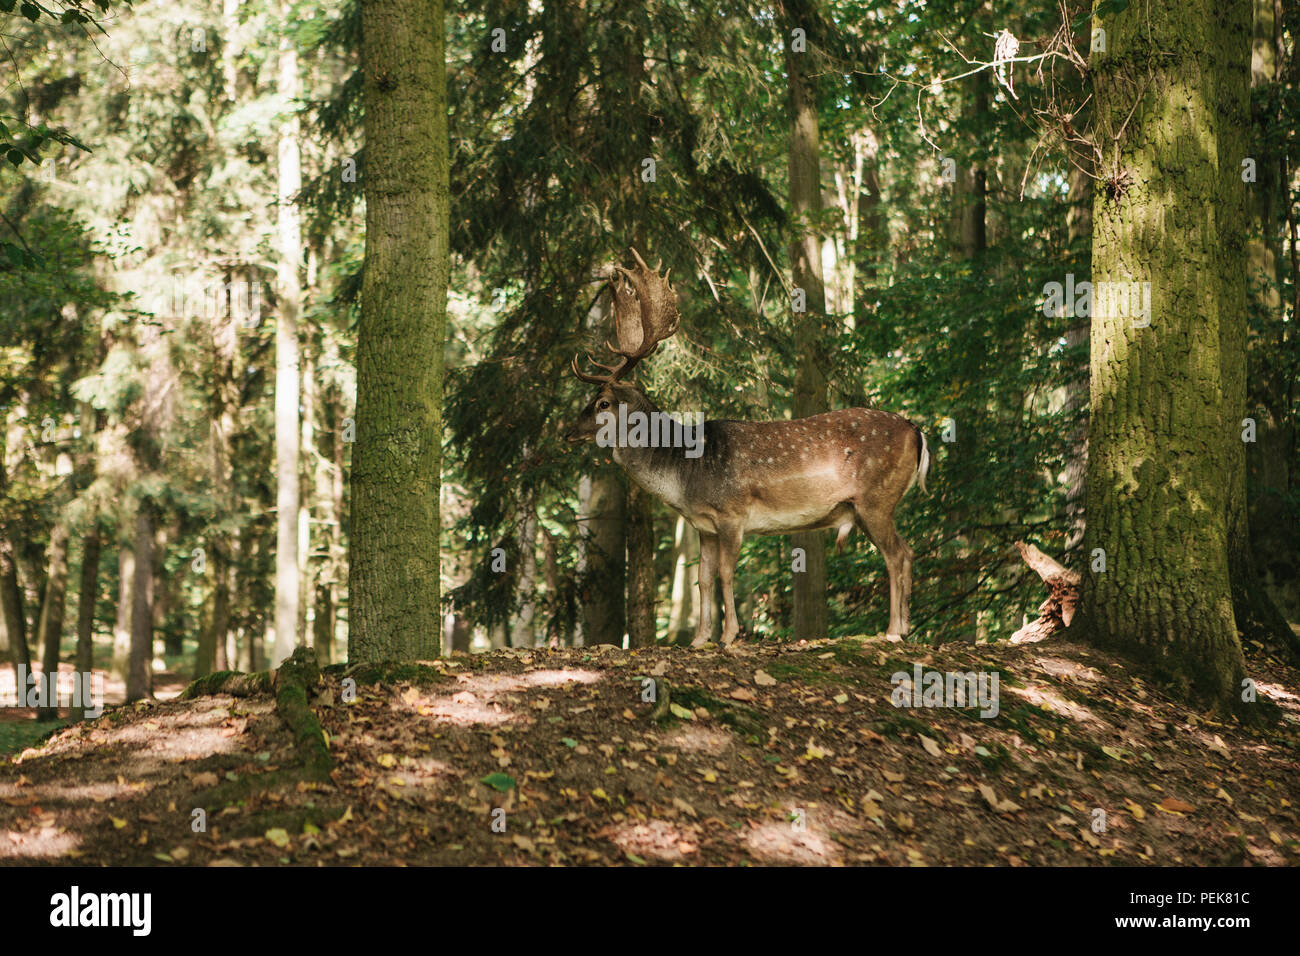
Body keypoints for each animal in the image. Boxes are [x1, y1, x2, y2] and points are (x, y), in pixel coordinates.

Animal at [564, 249, 929, 646]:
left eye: (602, 402)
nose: (568, 432)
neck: (685, 471)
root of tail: (917, 431)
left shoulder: (732, 514)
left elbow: (726, 573)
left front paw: (729, 635)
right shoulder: (703, 526)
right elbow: (702, 580)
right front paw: (699, 640)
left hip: (875, 499)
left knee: (897, 554)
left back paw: (892, 631)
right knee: (908, 551)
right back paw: (905, 627)